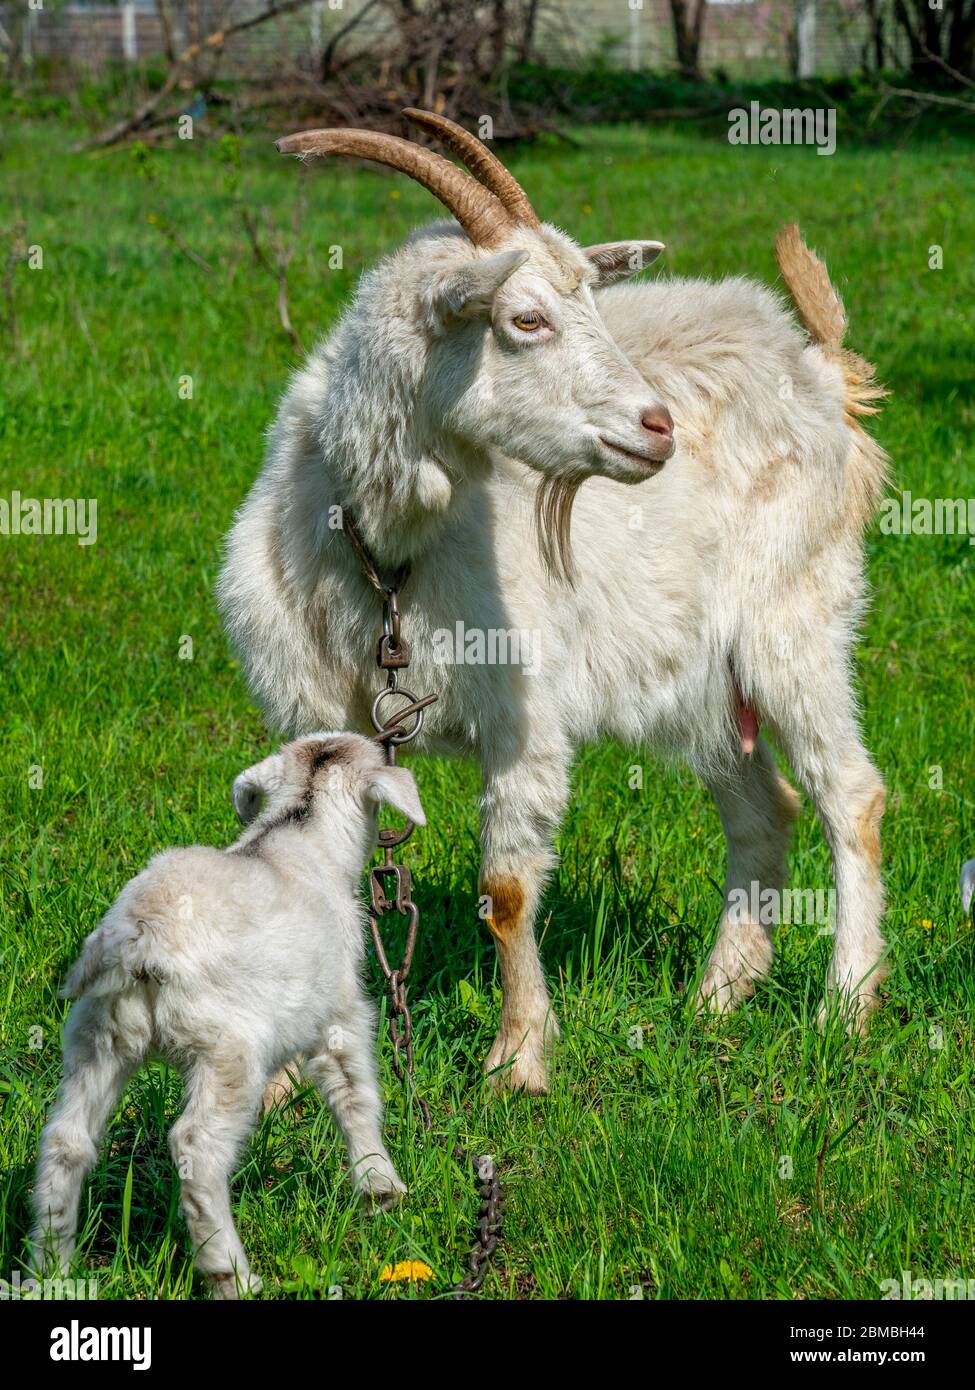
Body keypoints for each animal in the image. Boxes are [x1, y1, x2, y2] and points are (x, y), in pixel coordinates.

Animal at [30, 733, 419, 1298]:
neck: (301, 834)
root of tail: (137, 935)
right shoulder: (339, 1013)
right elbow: (354, 1094)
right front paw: (379, 1186)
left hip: (96, 1035)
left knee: (66, 1141)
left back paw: (50, 1271)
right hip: (227, 1048)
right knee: (196, 1148)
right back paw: (230, 1273)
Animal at [218, 111, 891, 1095]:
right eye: (525, 318)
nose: (657, 428)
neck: (386, 558)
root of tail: (822, 372)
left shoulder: (522, 714)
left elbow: (505, 891)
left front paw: (517, 1062)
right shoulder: (315, 715)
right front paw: (285, 1081)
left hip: (793, 618)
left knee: (849, 794)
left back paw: (844, 1007)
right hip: (697, 676)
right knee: (763, 806)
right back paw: (715, 998)